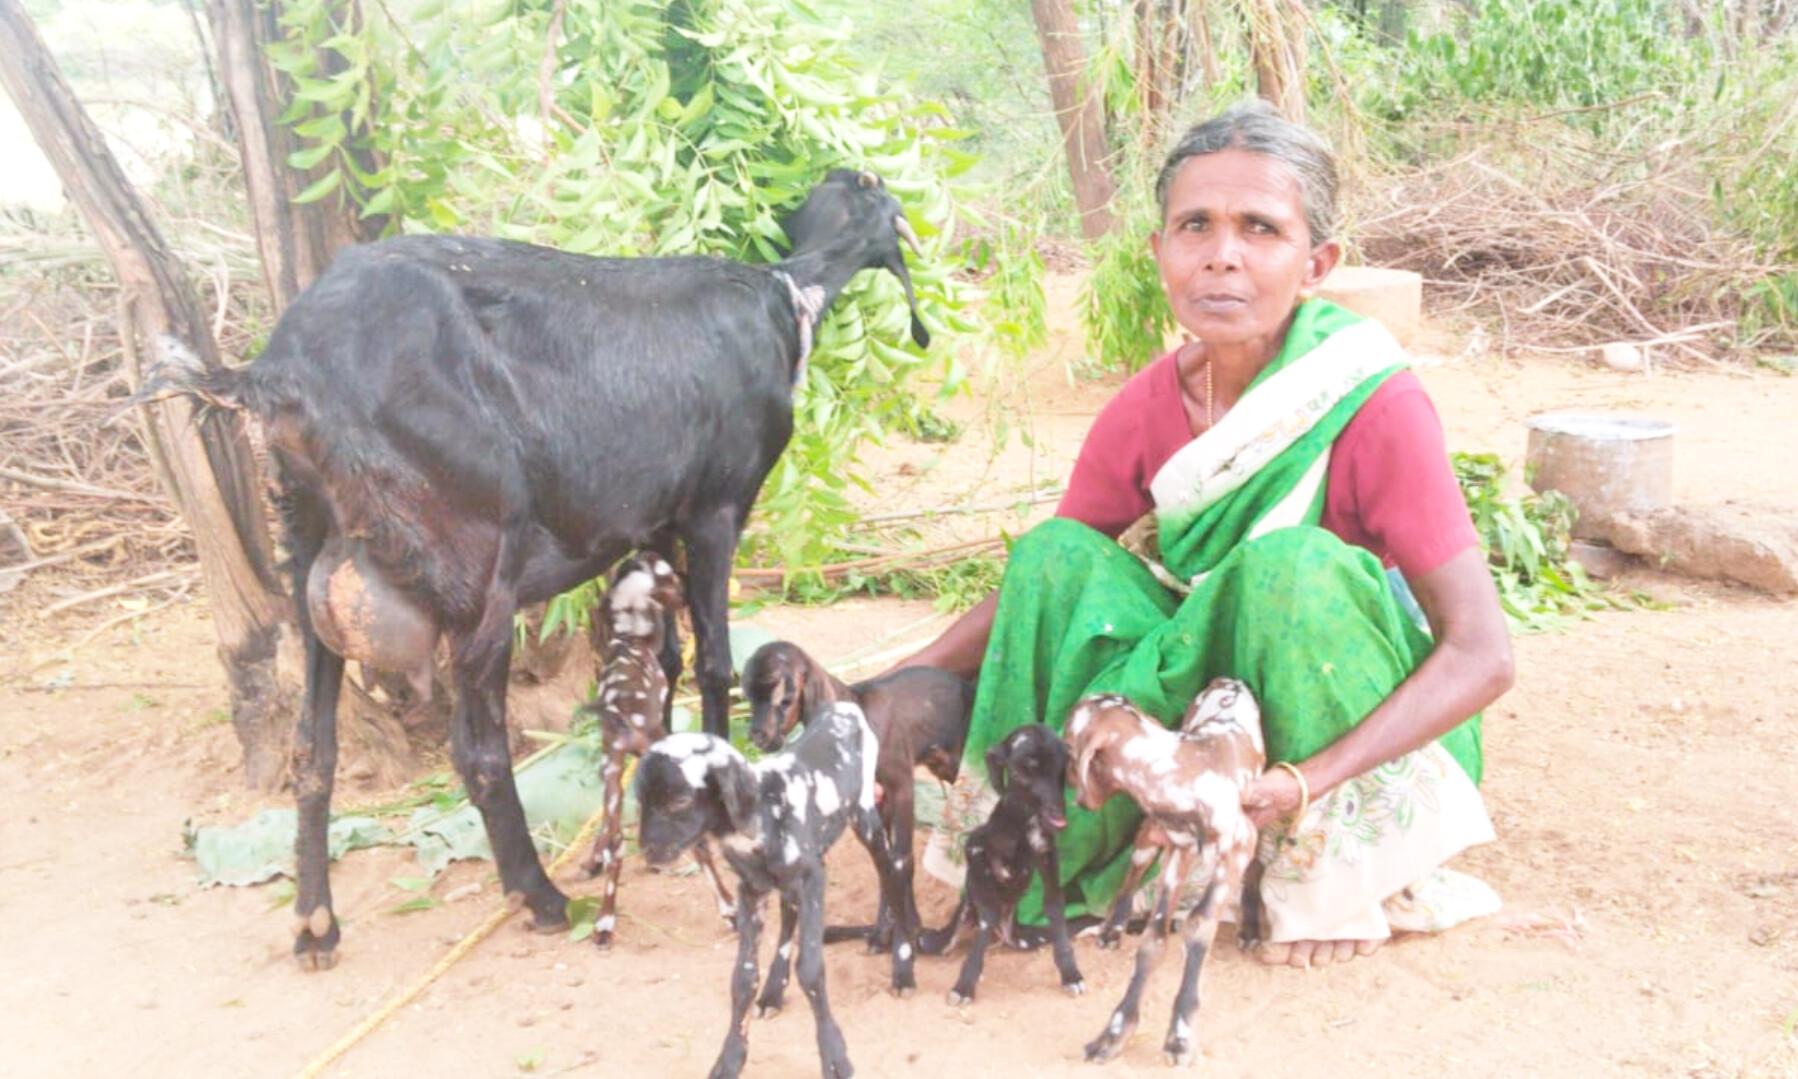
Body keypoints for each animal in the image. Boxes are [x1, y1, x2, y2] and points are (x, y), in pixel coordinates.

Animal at [574, 554, 733, 949]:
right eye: (672, 578)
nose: (688, 584)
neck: (628, 634)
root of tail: (624, 717)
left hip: (612, 777)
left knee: (616, 844)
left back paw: (604, 923)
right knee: (697, 843)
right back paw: (729, 909)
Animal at [636, 705, 915, 1079]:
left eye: (679, 800)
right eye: (640, 800)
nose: (648, 852)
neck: (766, 811)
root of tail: (842, 707)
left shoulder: (813, 878)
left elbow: (810, 969)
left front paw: (834, 1056)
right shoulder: (751, 890)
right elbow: (742, 979)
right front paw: (730, 1057)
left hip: (866, 817)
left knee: (893, 875)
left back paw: (904, 966)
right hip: (789, 878)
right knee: (788, 917)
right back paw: (772, 993)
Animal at [743, 640, 972, 951]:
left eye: (786, 699)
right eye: (748, 697)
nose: (758, 736)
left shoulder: (900, 783)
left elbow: (901, 858)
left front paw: (910, 931)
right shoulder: (871, 801)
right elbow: (882, 862)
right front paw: (886, 932)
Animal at [919, 723, 1086, 1005]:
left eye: (1060, 768)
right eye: (1019, 771)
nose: (1057, 812)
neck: (1024, 825)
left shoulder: (1048, 857)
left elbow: (1055, 908)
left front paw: (1070, 973)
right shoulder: (975, 848)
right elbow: (987, 914)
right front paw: (965, 985)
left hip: (1021, 938)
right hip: (939, 937)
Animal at [1063, 680, 1264, 1067]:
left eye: (1067, 743)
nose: (1064, 778)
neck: (1182, 775)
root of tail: (1229, 681)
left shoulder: (1238, 843)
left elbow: (1200, 922)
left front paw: (1180, 1036)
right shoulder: (1177, 850)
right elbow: (1154, 938)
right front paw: (1114, 1033)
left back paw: (1249, 927)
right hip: (1151, 836)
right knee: (1135, 867)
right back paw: (1112, 928)